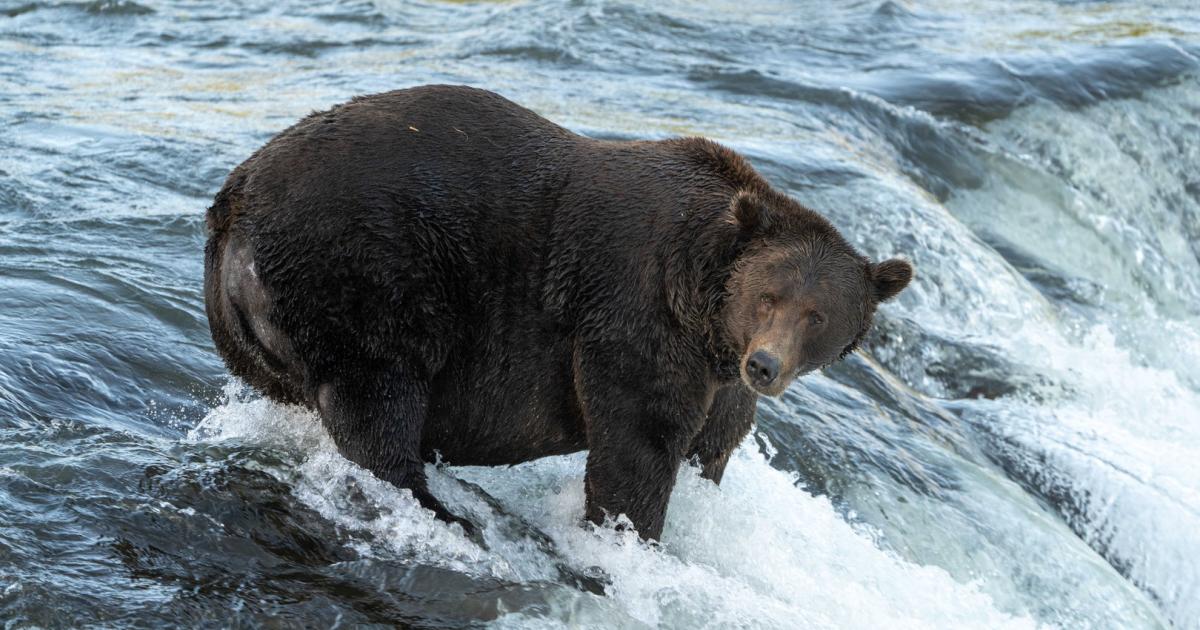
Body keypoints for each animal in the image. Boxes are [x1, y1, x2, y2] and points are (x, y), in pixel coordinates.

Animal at [204, 85, 912, 541]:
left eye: (818, 316)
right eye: (770, 295)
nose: (765, 365)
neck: (704, 308)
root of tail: (232, 207)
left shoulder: (717, 371)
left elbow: (714, 443)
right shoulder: (633, 312)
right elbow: (638, 441)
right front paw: (628, 536)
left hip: (259, 328)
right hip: (360, 272)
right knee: (376, 396)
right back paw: (440, 508)